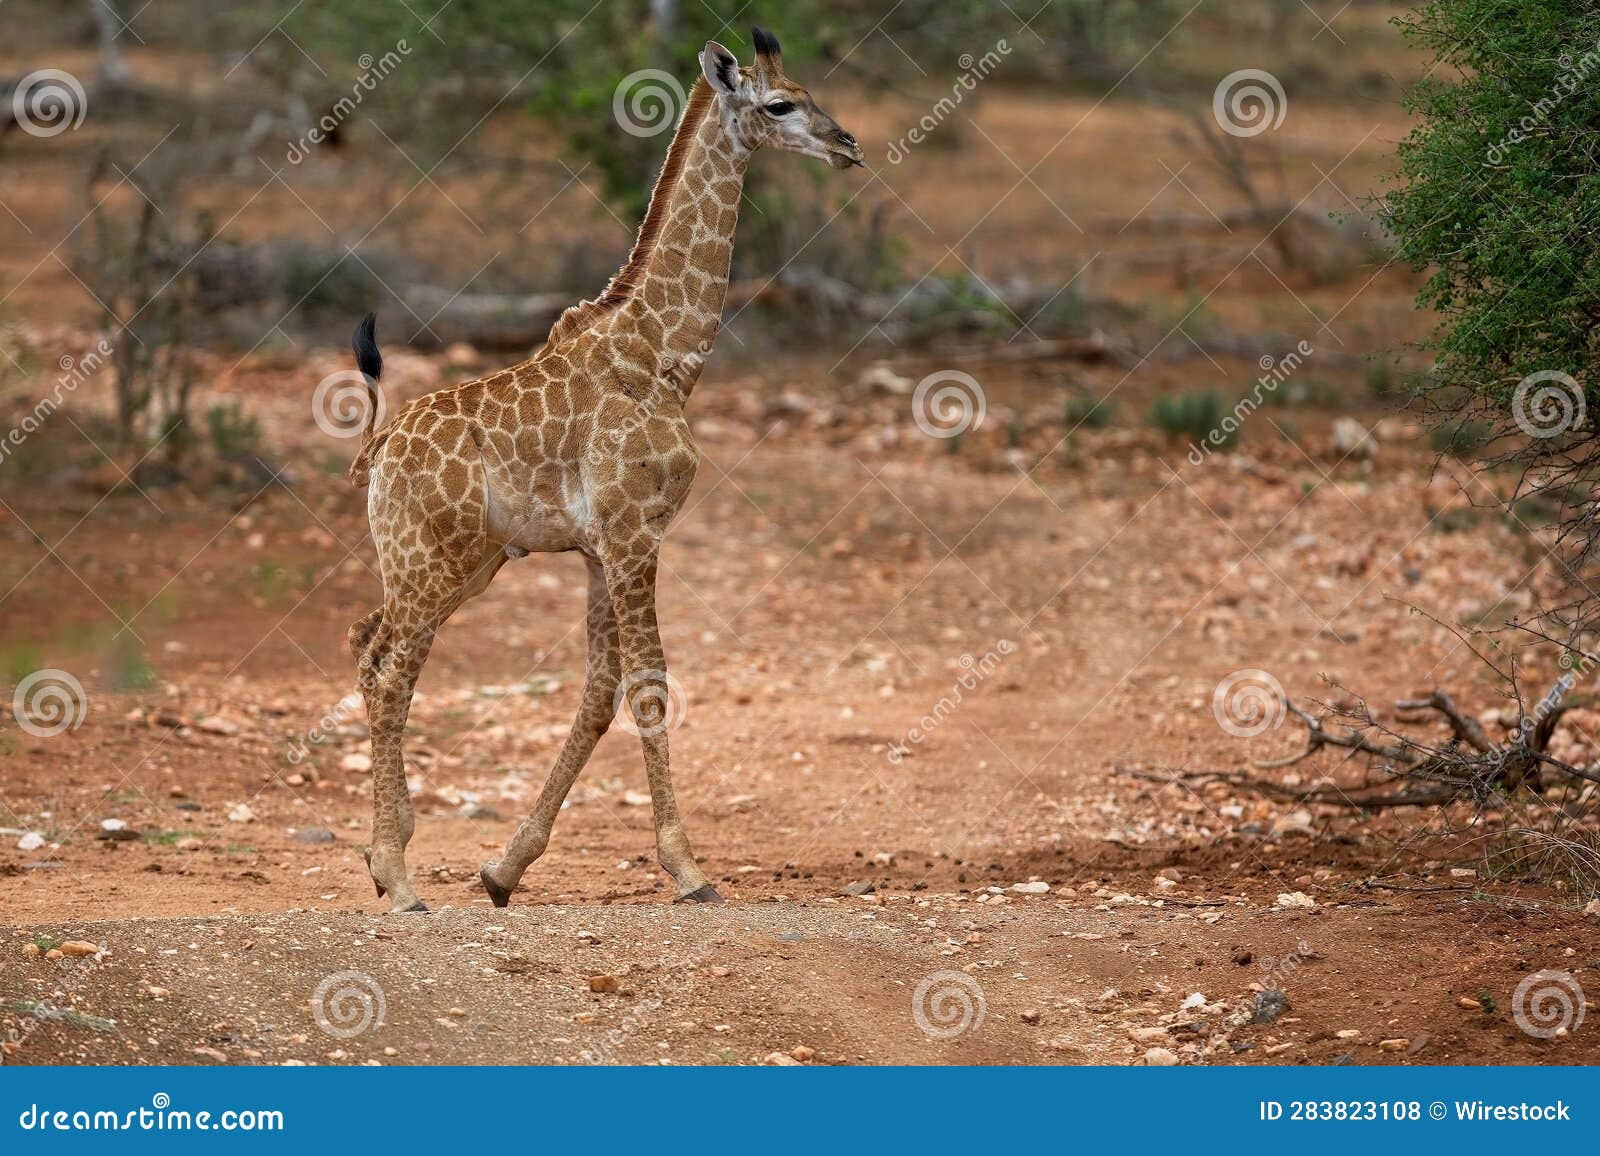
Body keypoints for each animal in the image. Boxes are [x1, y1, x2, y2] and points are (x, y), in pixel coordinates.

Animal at [341, 28, 863, 912]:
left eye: (806, 92)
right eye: (779, 104)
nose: (847, 145)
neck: (663, 356)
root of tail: (378, 451)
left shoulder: (599, 549)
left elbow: (597, 694)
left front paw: (504, 868)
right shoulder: (633, 534)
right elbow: (649, 685)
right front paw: (689, 871)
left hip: (459, 565)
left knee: (367, 646)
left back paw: (388, 859)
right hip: (426, 560)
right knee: (389, 672)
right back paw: (400, 879)